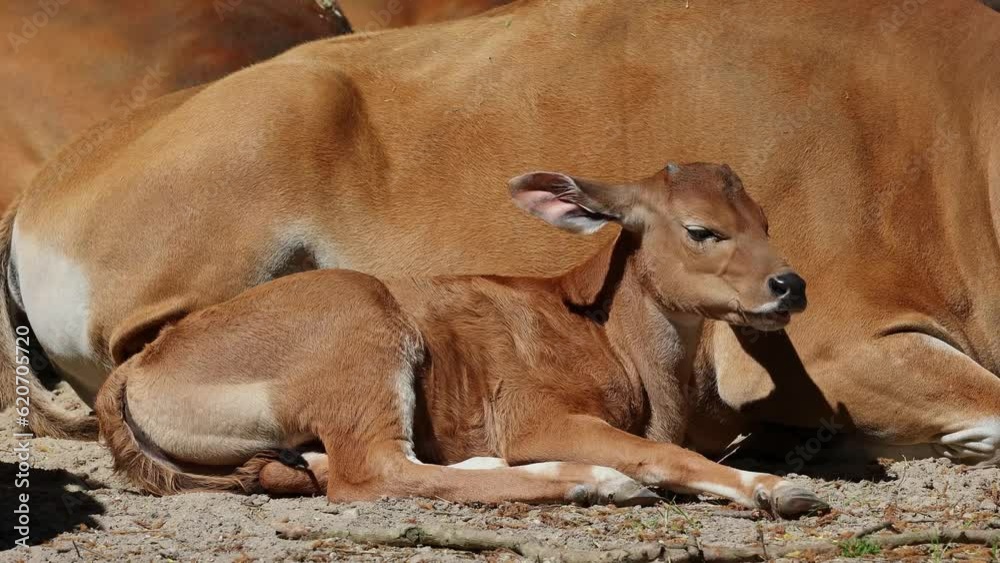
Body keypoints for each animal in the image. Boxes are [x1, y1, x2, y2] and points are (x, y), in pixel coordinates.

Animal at [94, 163, 827, 518]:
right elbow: (661, 454)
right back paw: (593, 483)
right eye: (702, 229)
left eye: (763, 220)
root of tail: (137, 367)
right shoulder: (535, 417)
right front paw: (778, 488)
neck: (611, 337)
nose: (790, 285)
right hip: (362, 331)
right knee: (374, 473)